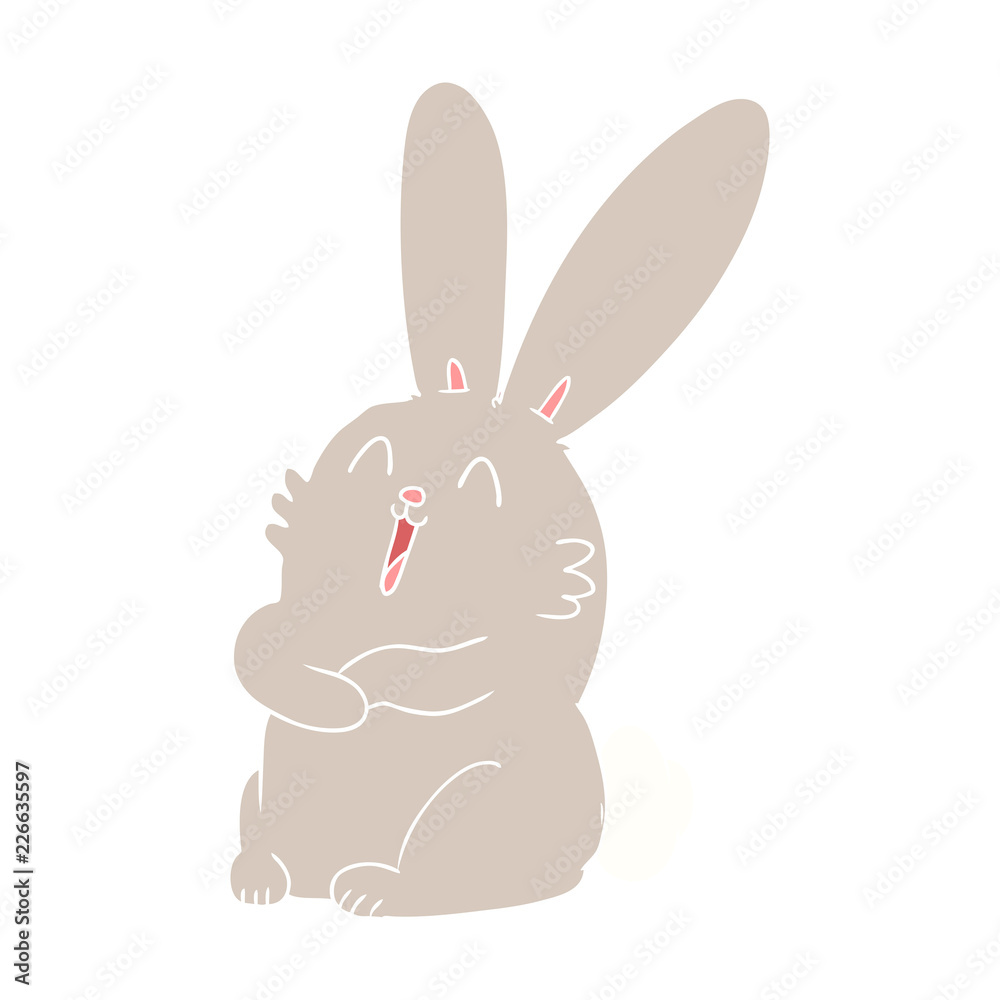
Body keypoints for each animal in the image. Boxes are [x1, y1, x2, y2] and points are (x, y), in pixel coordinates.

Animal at [230, 83, 768, 915]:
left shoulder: (525, 641)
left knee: (449, 872)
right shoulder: (299, 608)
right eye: (372, 457)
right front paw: (338, 697)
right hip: (266, 793)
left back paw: (374, 887)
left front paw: (369, 687)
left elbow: (470, 666)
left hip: (482, 800)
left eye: (483, 484)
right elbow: (261, 638)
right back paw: (261, 878)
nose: (410, 497)